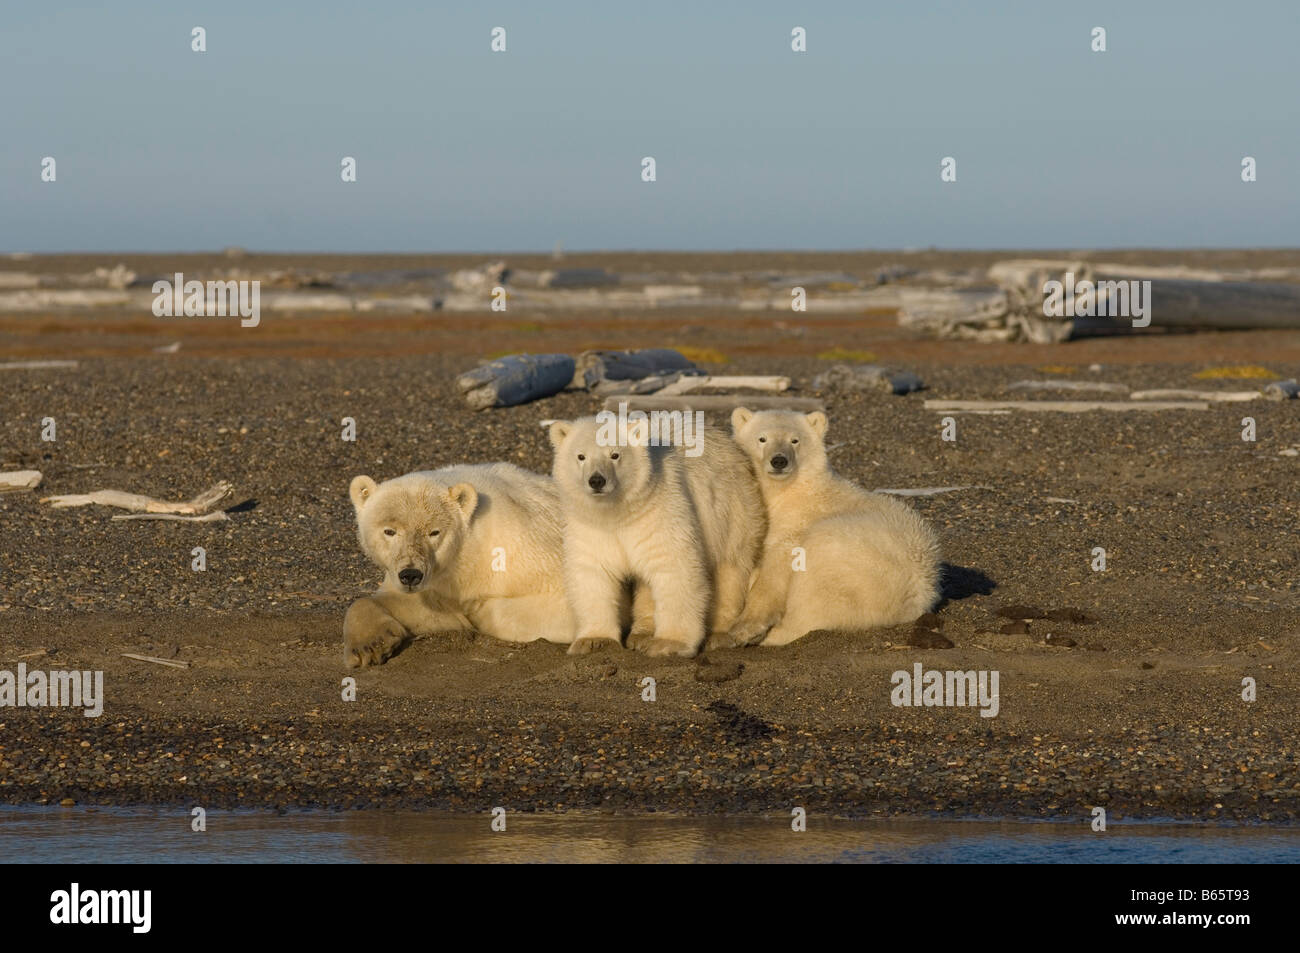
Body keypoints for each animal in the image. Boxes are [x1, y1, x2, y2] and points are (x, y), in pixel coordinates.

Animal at [344, 463, 573, 667]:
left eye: (434, 532)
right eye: (389, 531)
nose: (410, 574)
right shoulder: (434, 582)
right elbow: (418, 608)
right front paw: (369, 646)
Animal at [547, 412, 765, 658]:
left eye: (615, 454)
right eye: (581, 456)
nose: (596, 480)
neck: (618, 512)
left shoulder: (658, 510)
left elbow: (673, 567)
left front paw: (669, 643)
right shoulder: (591, 527)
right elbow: (593, 573)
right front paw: (595, 640)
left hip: (733, 510)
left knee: (730, 567)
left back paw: (718, 634)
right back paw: (642, 634)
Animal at [726, 408, 941, 646]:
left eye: (795, 440)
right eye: (762, 438)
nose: (779, 461)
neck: (788, 493)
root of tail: (921, 591)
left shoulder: (796, 524)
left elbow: (778, 568)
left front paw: (743, 628)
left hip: (852, 560)